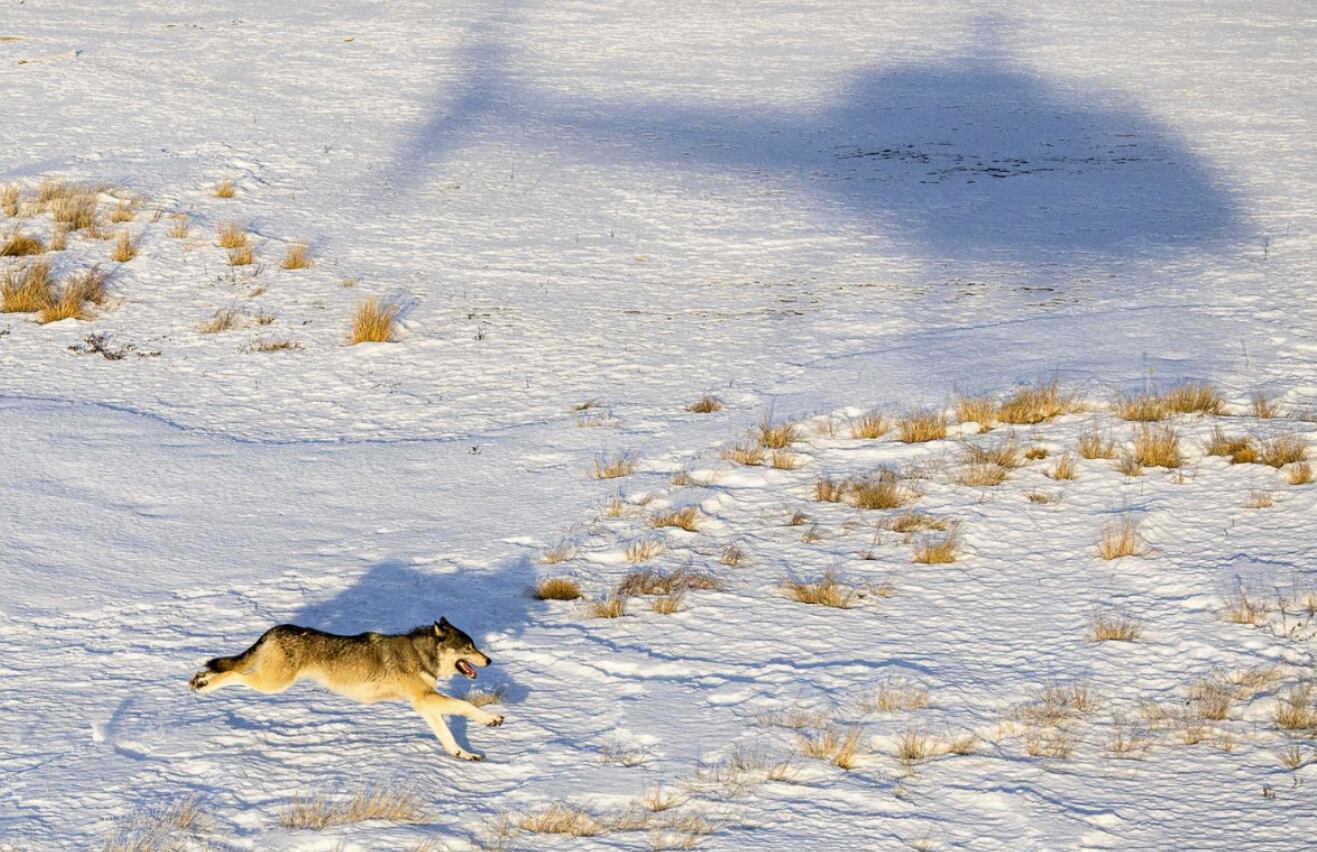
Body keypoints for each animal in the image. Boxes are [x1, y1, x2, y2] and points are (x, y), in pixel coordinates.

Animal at [189, 617, 504, 761]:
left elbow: (447, 737)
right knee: (232, 673)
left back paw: (199, 679)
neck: (420, 654)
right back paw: (202, 684)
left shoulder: (424, 704)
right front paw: (492, 719)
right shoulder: (424, 698)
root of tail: (276, 629)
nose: (489, 660)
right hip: (272, 684)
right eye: (469, 647)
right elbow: (465, 705)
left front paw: (464, 755)